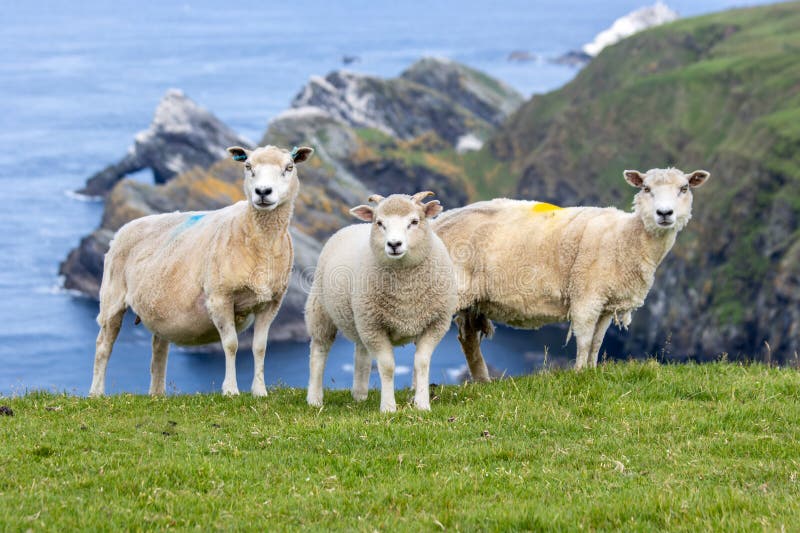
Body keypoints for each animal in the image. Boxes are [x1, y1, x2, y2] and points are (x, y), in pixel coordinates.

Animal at [88, 144, 314, 397]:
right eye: (248, 166)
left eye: (289, 167)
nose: (263, 192)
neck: (257, 238)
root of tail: (125, 228)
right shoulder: (219, 297)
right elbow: (231, 344)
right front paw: (231, 390)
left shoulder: (272, 302)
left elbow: (260, 347)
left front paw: (259, 391)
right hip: (112, 298)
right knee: (103, 346)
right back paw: (96, 393)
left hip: (160, 308)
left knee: (159, 349)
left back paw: (157, 395)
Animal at [305, 191, 457, 412]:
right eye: (379, 223)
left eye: (414, 221)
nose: (394, 244)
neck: (406, 290)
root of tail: (353, 226)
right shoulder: (375, 326)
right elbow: (387, 366)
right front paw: (388, 407)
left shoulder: (435, 323)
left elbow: (421, 363)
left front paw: (422, 404)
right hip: (322, 311)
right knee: (319, 352)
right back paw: (315, 399)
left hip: (360, 320)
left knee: (361, 354)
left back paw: (359, 395)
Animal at [433, 167, 710, 375]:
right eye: (646, 188)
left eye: (684, 188)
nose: (664, 213)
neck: (626, 237)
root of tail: (439, 221)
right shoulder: (587, 295)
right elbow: (585, 339)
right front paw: (579, 374)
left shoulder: (606, 303)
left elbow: (597, 342)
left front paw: (592, 370)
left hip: (471, 298)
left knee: (468, 339)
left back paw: (483, 381)